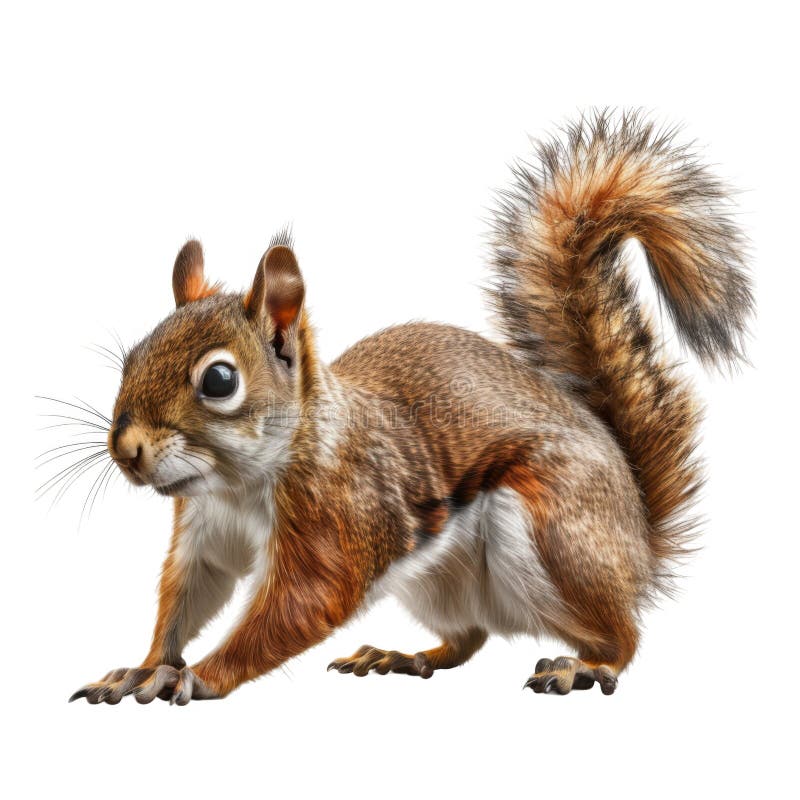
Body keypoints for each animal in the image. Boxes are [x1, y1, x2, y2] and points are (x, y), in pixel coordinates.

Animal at [69, 111, 752, 704]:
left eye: (218, 380)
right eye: (132, 357)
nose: (125, 450)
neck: (235, 481)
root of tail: (637, 539)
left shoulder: (339, 517)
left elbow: (302, 605)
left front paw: (196, 676)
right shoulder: (204, 533)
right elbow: (186, 597)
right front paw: (141, 667)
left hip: (552, 536)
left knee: (622, 635)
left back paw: (584, 666)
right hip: (436, 584)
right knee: (468, 636)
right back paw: (404, 656)